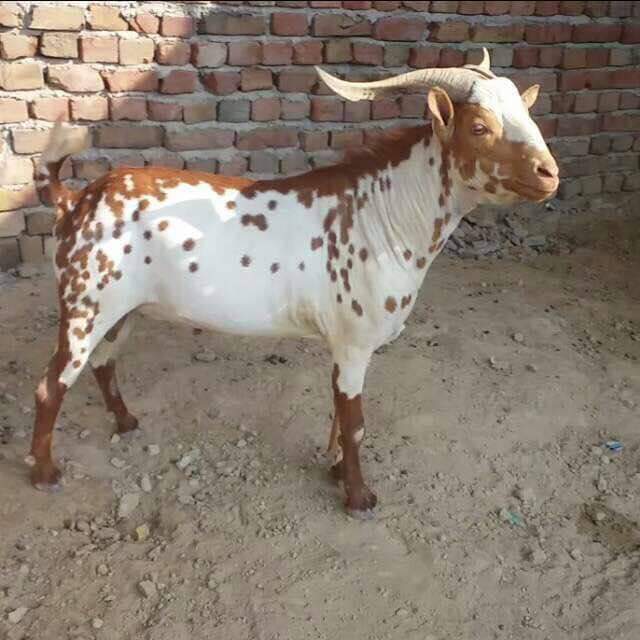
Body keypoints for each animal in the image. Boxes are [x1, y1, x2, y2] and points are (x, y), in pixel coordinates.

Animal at [29, 50, 558, 518]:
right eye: (479, 127)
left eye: (526, 116)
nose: (550, 173)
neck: (380, 214)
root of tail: (74, 200)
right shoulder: (354, 341)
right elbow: (356, 423)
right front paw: (358, 498)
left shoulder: (344, 343)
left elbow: (340, 416)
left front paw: (336, 470)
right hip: (84, 306)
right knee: (51, 386)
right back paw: (45, 473)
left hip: (124, 309)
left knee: (104, 362)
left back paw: (125, 421)